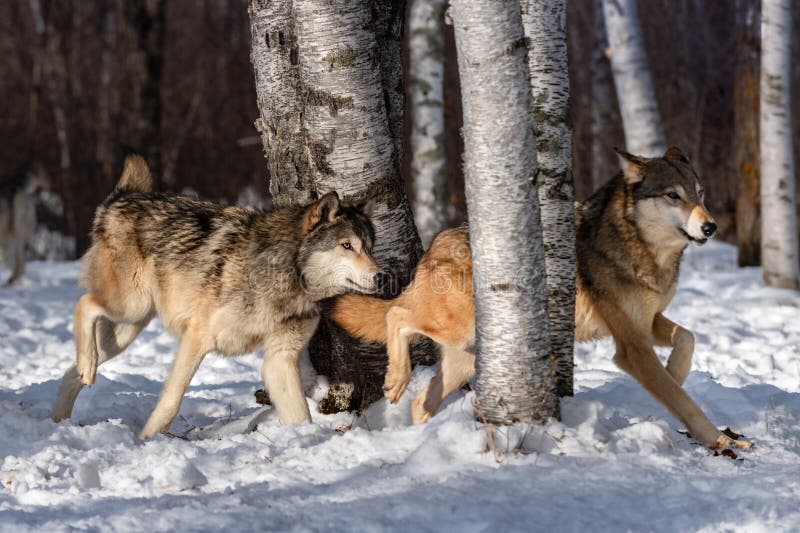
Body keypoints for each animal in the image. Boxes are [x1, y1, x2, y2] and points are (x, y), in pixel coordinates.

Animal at [52, 155, 380, 439]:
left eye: (369, 247)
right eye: (346, 245)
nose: (379, 276)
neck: (286, 278)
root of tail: (123, 197)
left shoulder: (279, 360)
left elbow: (301, 417)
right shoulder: (197, 337)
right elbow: (170, 402)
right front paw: (145, 441)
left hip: (127, 330)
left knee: (70, 372)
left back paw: (62, 416)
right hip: (131, 307)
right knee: (83, 304)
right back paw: (85, 370)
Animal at [330, 147, 752, 450]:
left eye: (700, 194)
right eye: (672, 196)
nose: (711, 227)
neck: (641, 247)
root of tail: (434, 246)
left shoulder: (647, 323)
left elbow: (688, 338)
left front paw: (676, 372)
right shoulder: (631, 347)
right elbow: (683, 402)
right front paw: (719, 439)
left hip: (464, 357)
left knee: (422, 401)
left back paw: (422, 435)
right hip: (453, 330)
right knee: (397, 316)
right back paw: (396, 380)